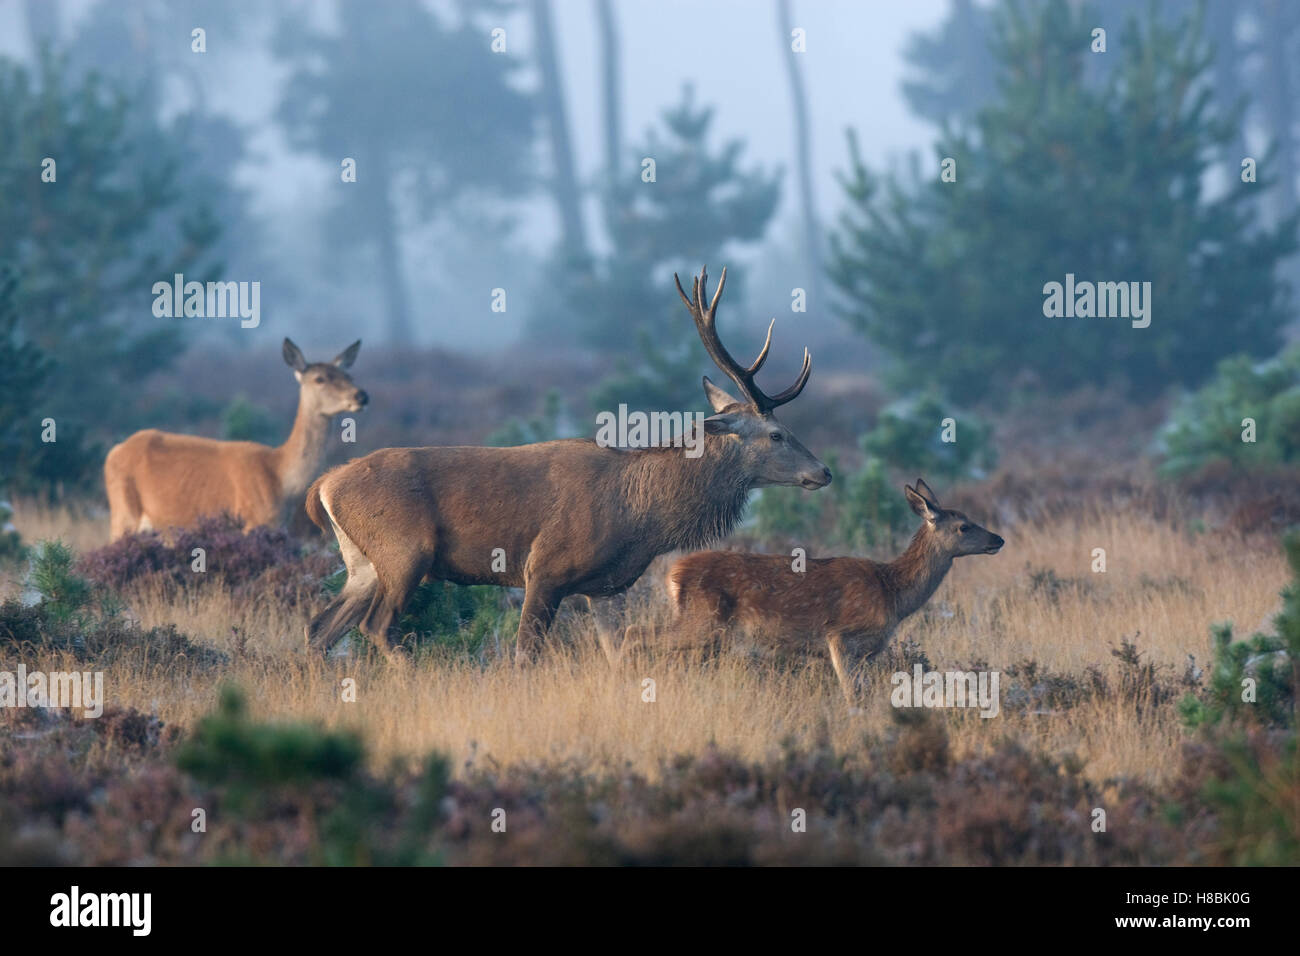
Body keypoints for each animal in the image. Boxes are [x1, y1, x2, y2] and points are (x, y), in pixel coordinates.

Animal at [104, 338, 367, 540]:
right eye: (319, 379)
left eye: (348, 374)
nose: (361, 395)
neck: (280, 480)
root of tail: (113, 452)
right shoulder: (252, 522)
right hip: (123, 513)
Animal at [304, 266, 832, 663]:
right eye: (777, 434)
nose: (823, 472)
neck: (640, 519)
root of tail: (323, 487)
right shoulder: (544, 569)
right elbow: (524, 654)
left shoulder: (607, 587)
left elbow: (618, 652)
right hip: (403, 550)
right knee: (376, 626)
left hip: (361, 562)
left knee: (320, 627)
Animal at [664, 479, 1003, 707]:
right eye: (964, 526)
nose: (998, 539)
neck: (892, 593)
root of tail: (673, 574)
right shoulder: (840, 635)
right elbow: (852, 694)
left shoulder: (867, 652)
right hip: (701, 620)